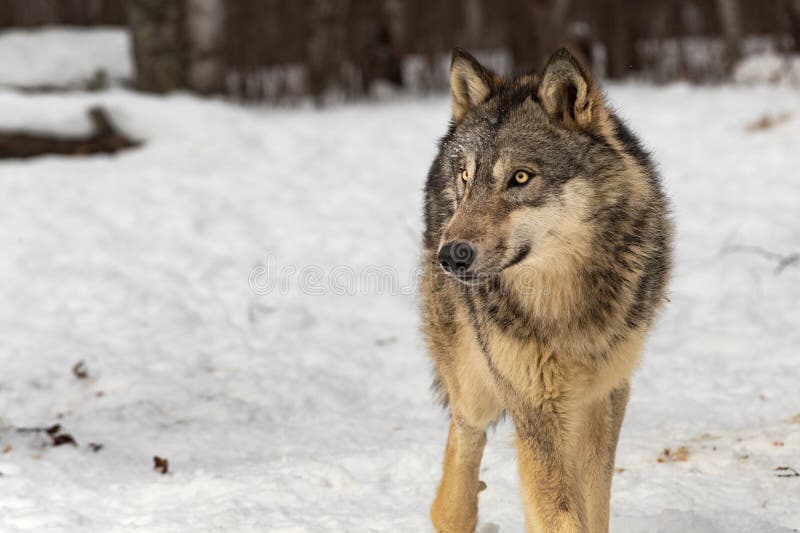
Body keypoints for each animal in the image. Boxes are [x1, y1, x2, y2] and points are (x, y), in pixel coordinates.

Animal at [421, 47, 672, 533]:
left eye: (520, 178)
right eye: (466, 177)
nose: (452, 255)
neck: (565, 300)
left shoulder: (603, 396)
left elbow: (591, 504)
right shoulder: (534, 407)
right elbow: (559, 514)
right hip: (476, 381)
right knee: (463, 439)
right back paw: (457, 510)